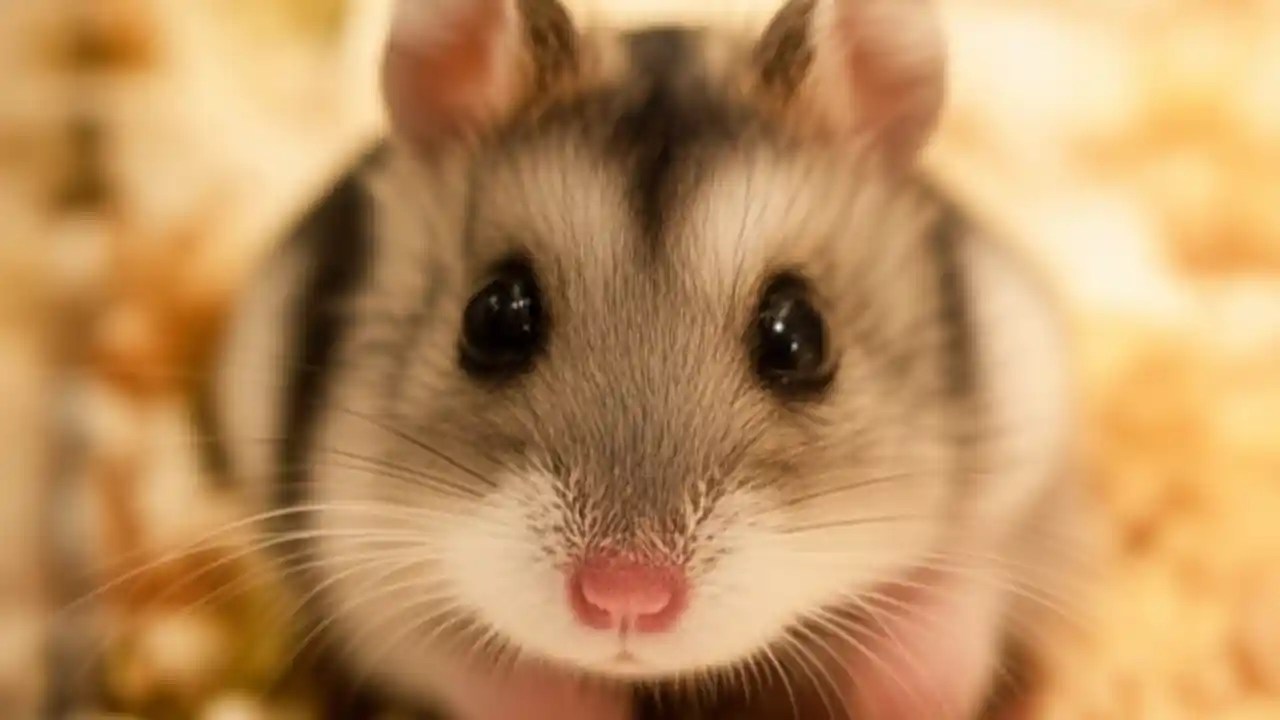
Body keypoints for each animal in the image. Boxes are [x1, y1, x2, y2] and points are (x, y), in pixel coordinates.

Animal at [209, 0, 1089, 718]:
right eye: (494, 317)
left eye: (799, 336)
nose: (624, 599)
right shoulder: (358, 560)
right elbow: (476, 665)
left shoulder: (1027, 453)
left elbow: (955, 599)